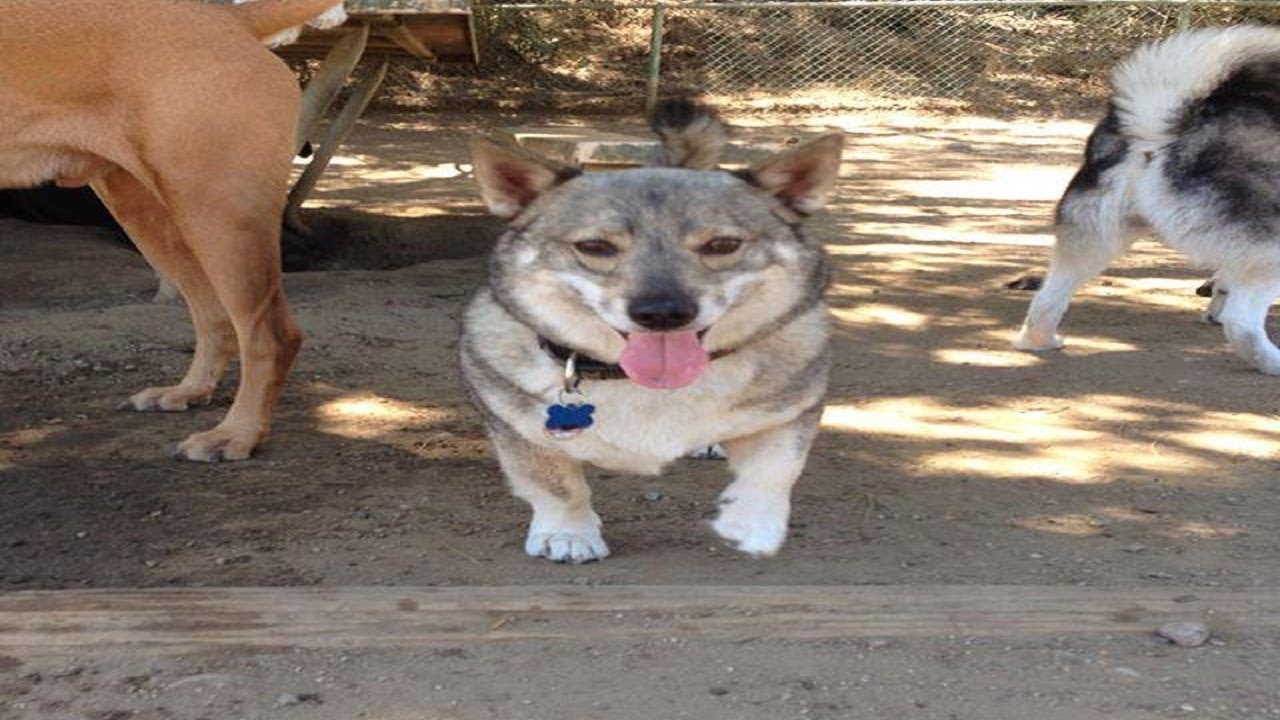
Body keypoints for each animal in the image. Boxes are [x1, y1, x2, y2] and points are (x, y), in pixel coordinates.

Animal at [461, 100, 844, 563]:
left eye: (722, 245)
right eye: (594, 247)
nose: (662, 312)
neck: (645, 387)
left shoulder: (795, 406)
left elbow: (777, 470)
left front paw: (751, 522)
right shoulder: (515, 425)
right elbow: (556, 485)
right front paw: (568, 533)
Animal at [1016, 26, 1280, 374]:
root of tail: (1161, 128)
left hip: (1095, 237)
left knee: (1048, 299)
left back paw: (1040, 340)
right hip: (1273, 246)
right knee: (1241, 323)